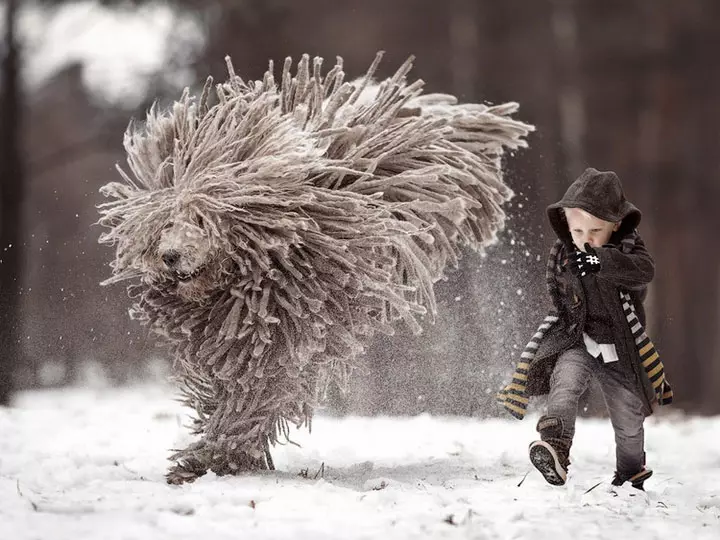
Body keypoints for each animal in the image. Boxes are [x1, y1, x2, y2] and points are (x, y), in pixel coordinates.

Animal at [98, 52, 532, 484]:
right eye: (164, 223)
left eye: (202, 220)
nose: (170, 255)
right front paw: (212, 454)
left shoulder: (282, 327)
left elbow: (253, 395)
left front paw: (217, 454)